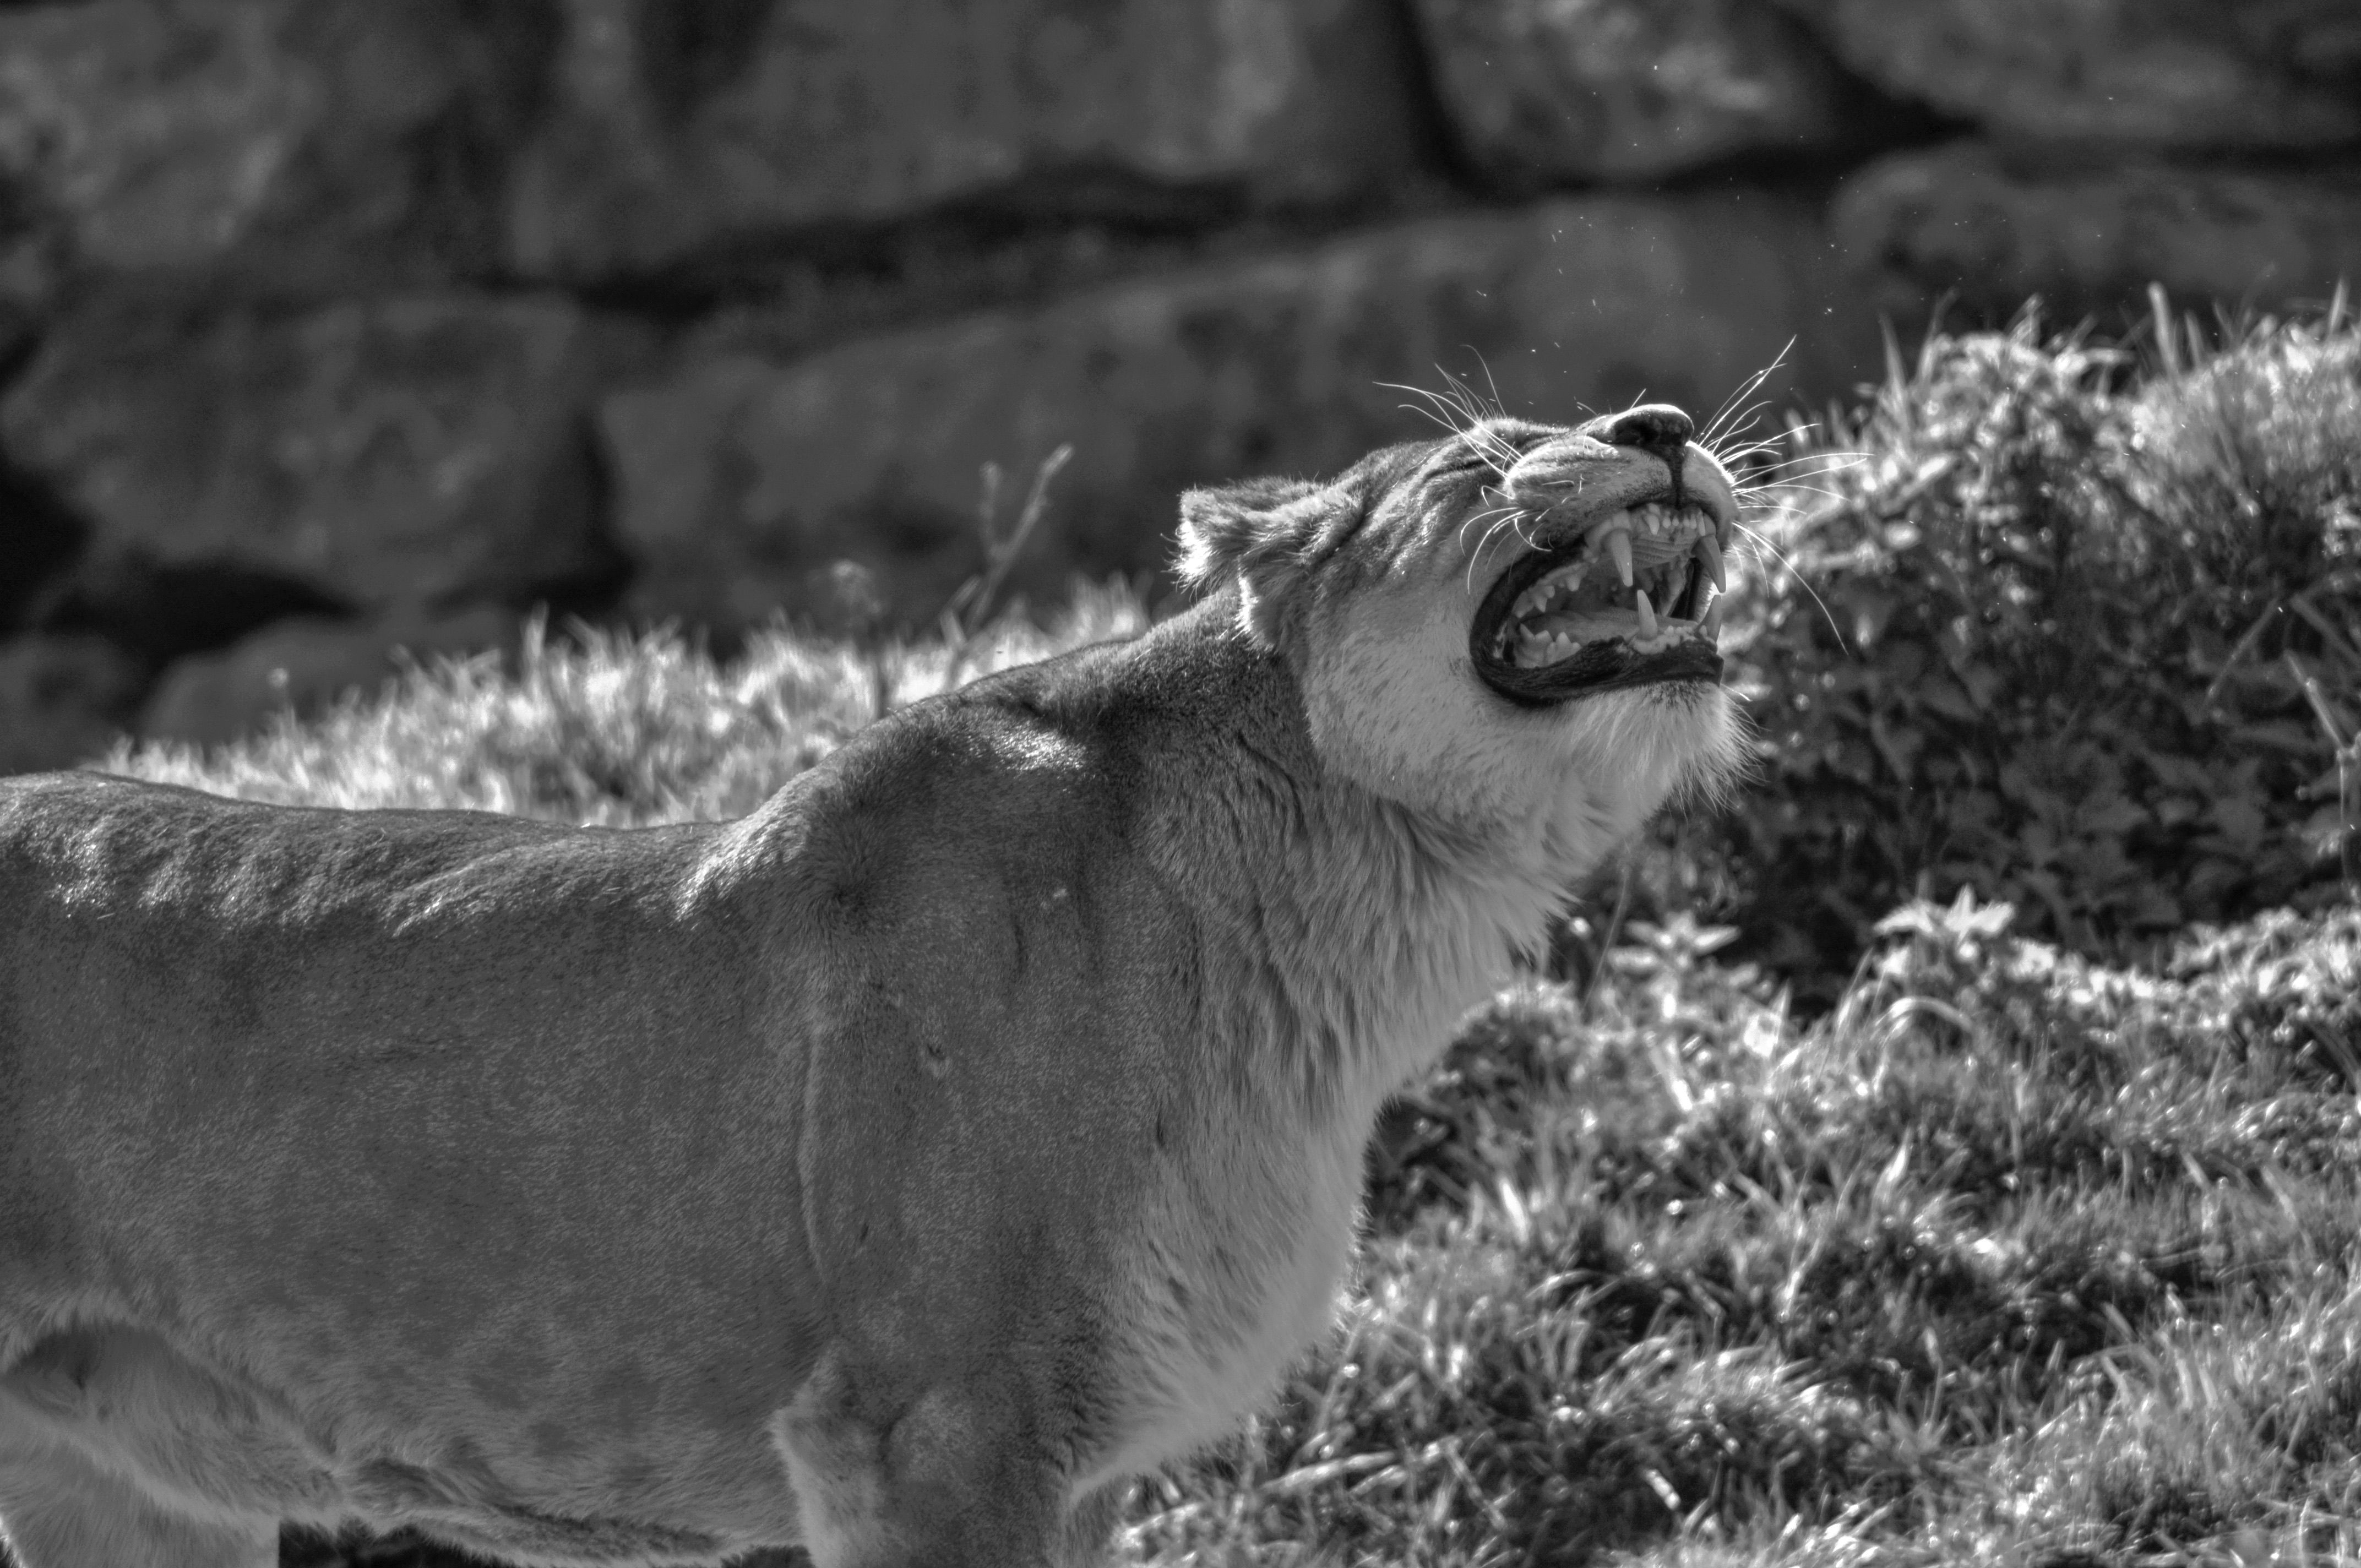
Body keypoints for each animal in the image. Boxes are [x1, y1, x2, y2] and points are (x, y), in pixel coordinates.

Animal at [0, 404, 1742, 1568]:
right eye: (1478, 459)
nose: (1660, 425)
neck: (1358, 923)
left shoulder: (1073, 1455)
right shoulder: (929, 1424)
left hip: (120, 1486)